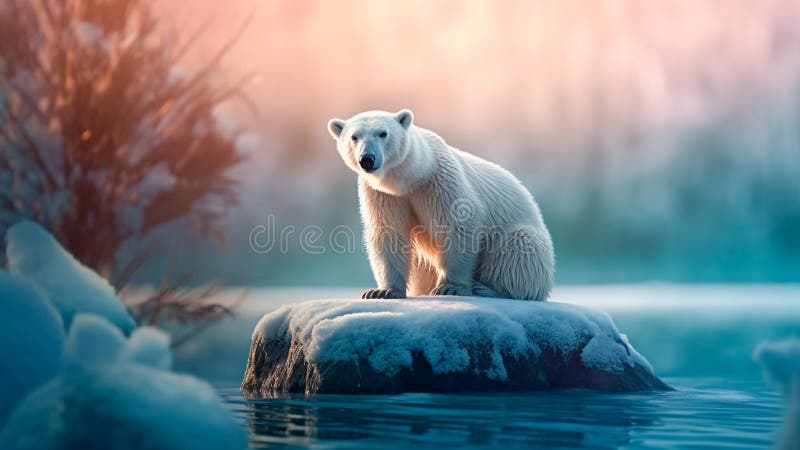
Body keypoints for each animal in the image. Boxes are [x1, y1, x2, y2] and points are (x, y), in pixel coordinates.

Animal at [327, 109, 554, 301]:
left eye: (383, 133)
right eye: (354, 137)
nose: (367, 158)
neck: (412, 178)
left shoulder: (440, 180)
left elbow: (458, 225)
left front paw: (451, 287)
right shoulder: (383, 194)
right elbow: (389, 232)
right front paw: (382, 291)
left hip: (521, 236)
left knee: (521, 247)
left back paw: (488, 289)